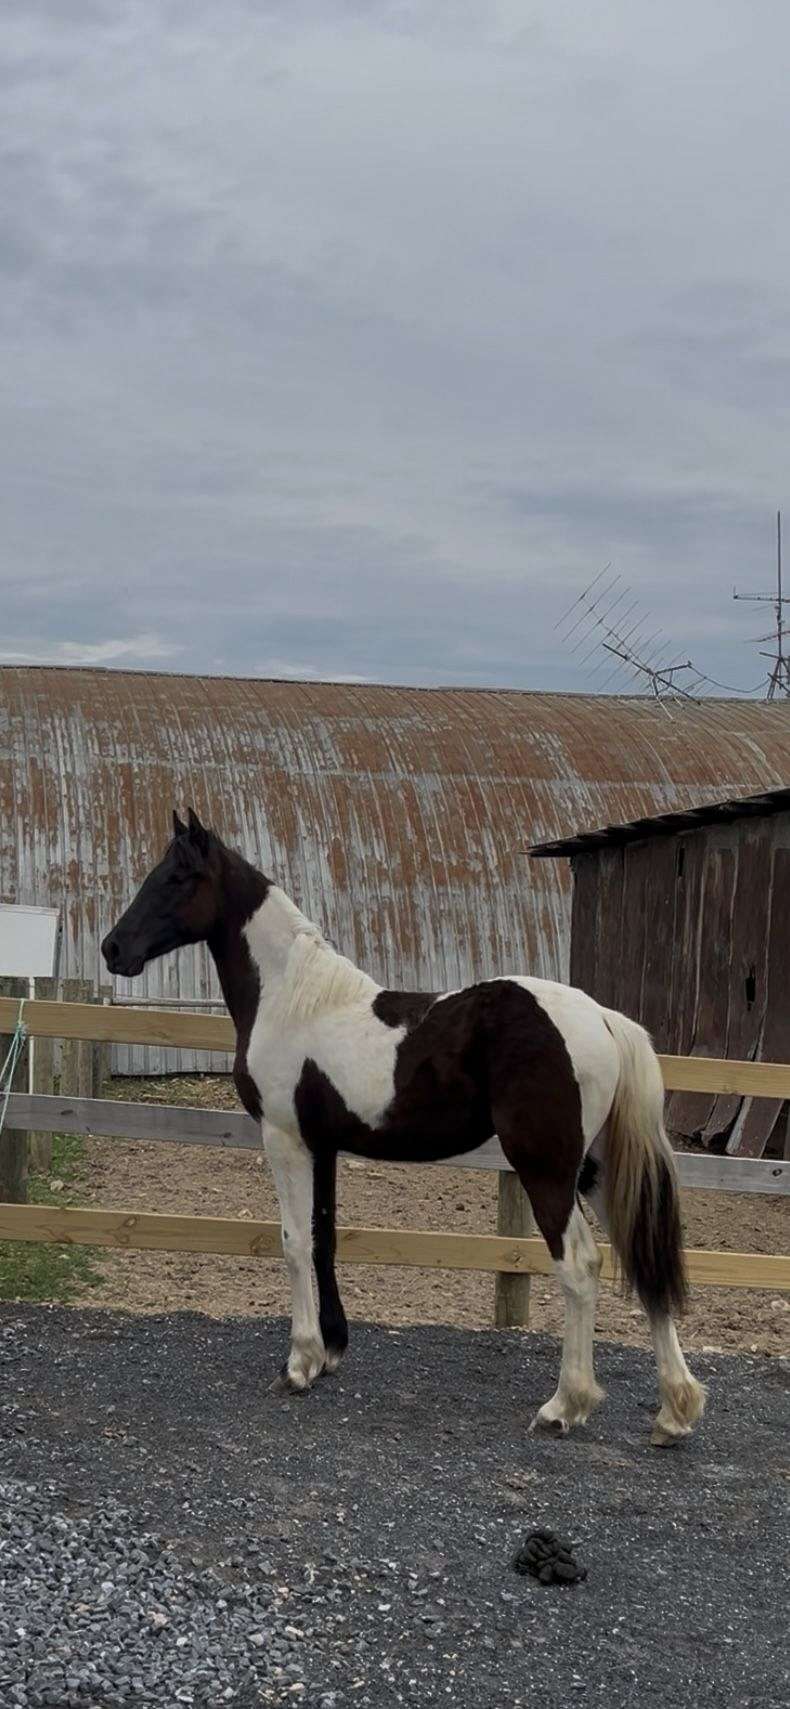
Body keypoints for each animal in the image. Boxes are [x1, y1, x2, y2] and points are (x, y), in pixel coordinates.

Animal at [102, 808, 706, 1447]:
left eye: (175, 877)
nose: (113, 948)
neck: (294, 999)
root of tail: (602, 1017)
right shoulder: (324, 1146)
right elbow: (323, 1238)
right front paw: (331, 1352)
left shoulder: (285, 1140)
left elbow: (293, 1242)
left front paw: (298, 1364)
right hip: (596, 1168)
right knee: (644, 1261)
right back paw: (674, 1412)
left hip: (546, 1169)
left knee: (581, 1266)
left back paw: (564, 1405)